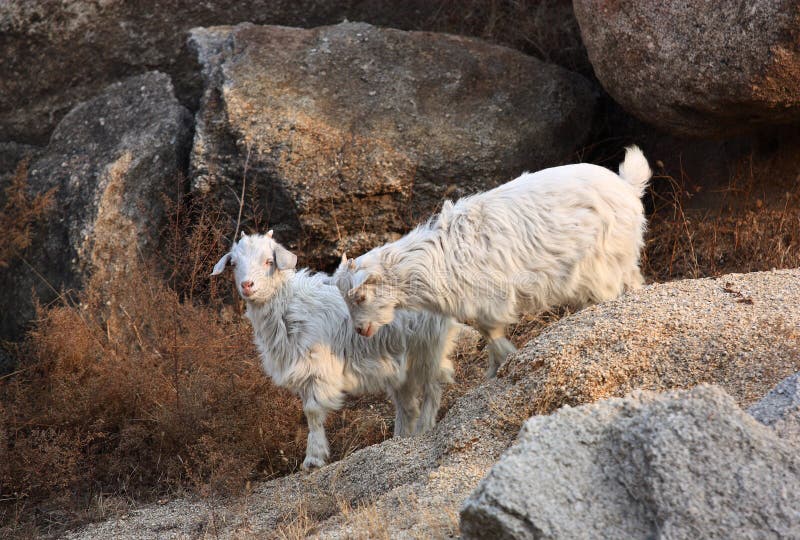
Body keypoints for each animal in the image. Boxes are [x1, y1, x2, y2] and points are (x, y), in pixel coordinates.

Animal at [211, 231, 456, 469]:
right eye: (234, 263)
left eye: (269, 261)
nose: (247, 285)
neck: (289, 305)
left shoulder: (316, 367)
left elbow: (312, 411)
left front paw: (313, 459)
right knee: (407, 405)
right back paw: (401, 438)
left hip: (429, 346)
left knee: (433, 387)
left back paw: (424, 428)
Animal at [332, 146, 651, 376]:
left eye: (360, 296)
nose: (360, 330)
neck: (435, 260)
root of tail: (628, 186)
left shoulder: (489, 299)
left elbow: (491, 333)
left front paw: (502, 365)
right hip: (623, 256)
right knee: (635, 282)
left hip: (600, 265)